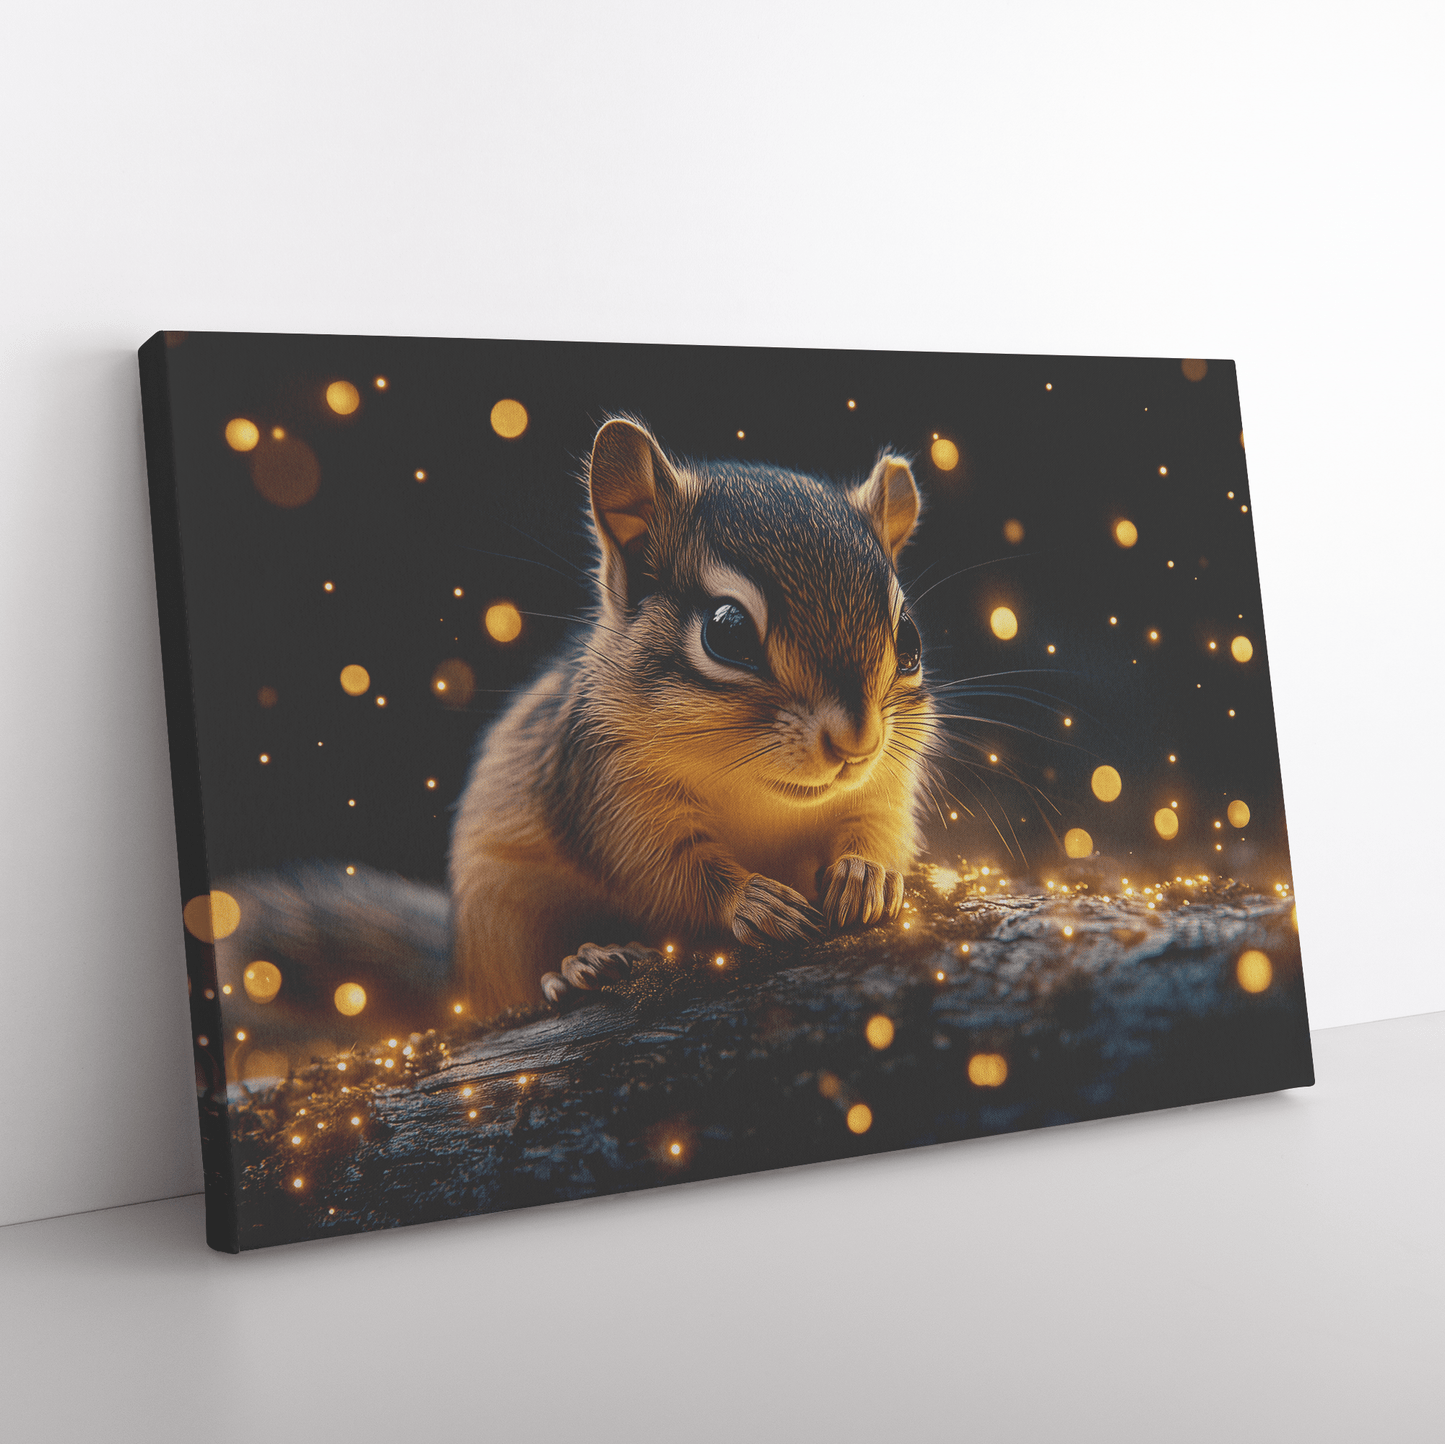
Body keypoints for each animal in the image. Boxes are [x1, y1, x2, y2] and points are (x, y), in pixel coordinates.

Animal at [215, 417, 934, 1041]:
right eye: (727, 631)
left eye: (910, 637)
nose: (857, 742)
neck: (761, 795)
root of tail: (457, 970)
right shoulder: (607, 789)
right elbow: (665, 870)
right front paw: (749, 901)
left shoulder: (885, 782)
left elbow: (877, 824)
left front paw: (866, 874)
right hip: (504, 912)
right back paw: (578, 967)